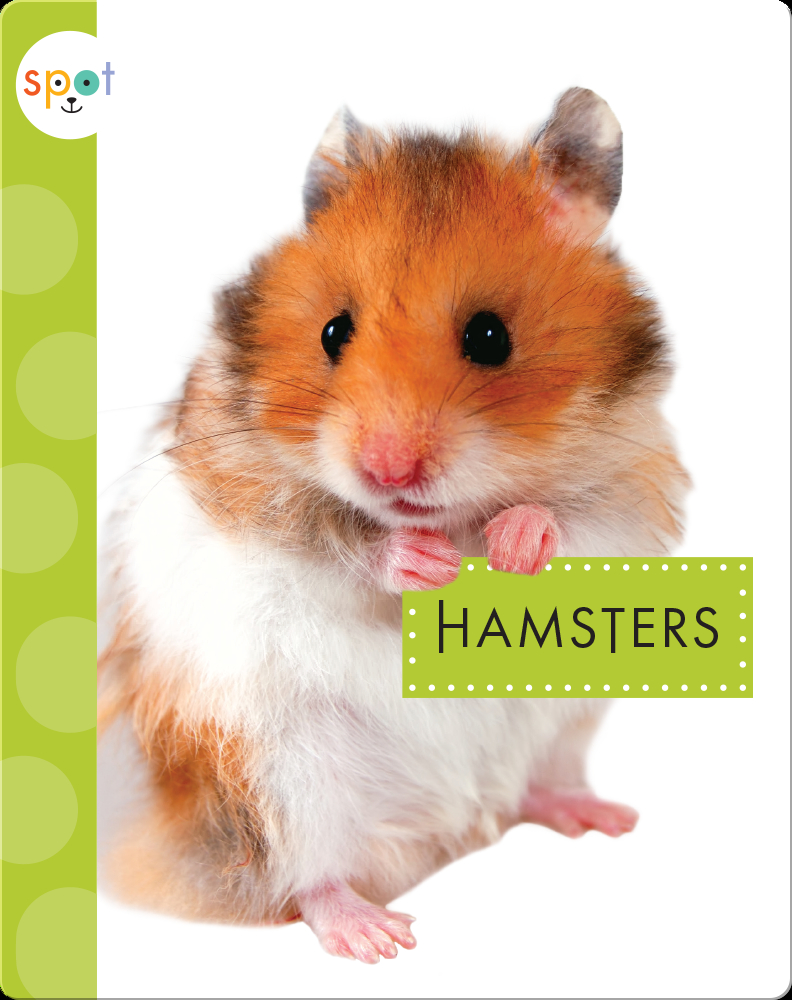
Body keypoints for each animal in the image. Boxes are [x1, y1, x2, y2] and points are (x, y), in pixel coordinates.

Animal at [98, 88, 689, 963]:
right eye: (332, 331)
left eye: (490, 336)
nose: (387, 471)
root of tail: (450, 832)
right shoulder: (246, 495)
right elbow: (335, 543)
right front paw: (424, 563)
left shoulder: (632, 481)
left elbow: (569, 520)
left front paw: (513, 544)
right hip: (277, 775)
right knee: (305, 880)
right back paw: (376, 938)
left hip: (562, 727)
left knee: (530, 792)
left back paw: (602, 818)